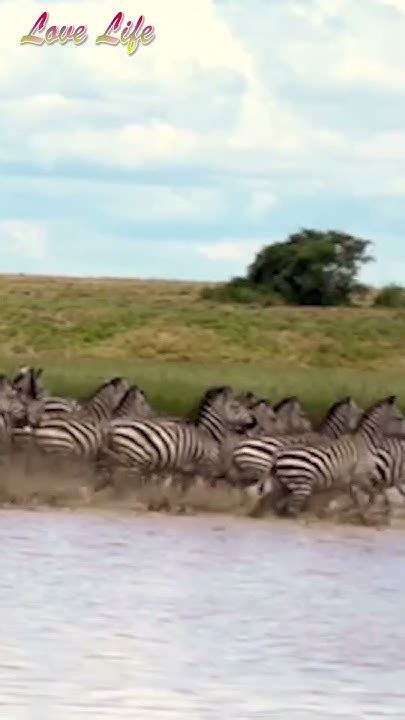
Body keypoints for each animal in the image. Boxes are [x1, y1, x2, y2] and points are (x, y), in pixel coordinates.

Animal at [97, 386, 256, 489]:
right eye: (235, 406)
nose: (254, 422)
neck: (206, 433)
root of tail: (111, 425)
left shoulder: (183, 471)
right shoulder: (203, 468)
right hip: (131, 457)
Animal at [270, 395, 405, 518]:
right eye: (399, 418)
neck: (365, 443)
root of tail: (279, 454)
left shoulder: (351, 479)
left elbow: (363, 497)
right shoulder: (360, 476)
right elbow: (373, 494)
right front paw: (367, 515)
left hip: (286, 485)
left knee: (280, 504)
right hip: (302, 485)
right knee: (292, 509)